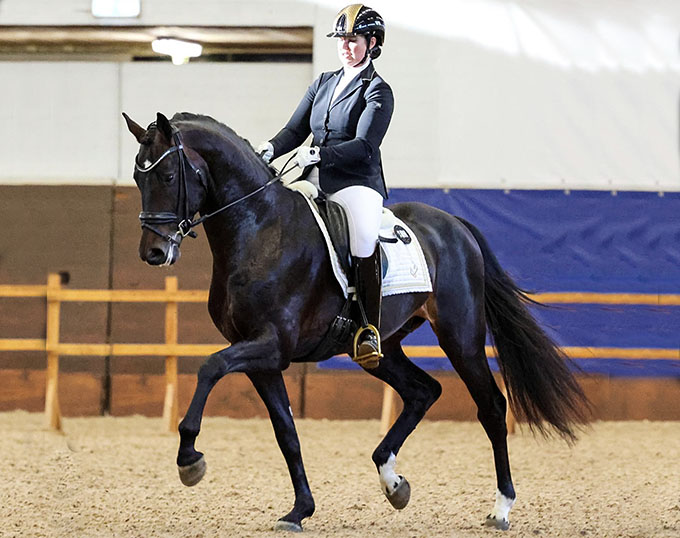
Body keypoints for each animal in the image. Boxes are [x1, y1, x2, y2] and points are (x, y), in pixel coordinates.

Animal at [123, 111, 589, 532]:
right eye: (137, 180)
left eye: (167, 176)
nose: (152, 253)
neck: (260, 229)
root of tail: (454, 225)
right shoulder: (263, 359)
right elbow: (286, 432)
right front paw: (300, 510)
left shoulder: (270, 344)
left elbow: (210, 366)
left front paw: (189, 459)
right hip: (381, 346)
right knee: (423, 391)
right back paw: (393, 481)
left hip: (461, 337)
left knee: (490, 406)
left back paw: (501, 508)